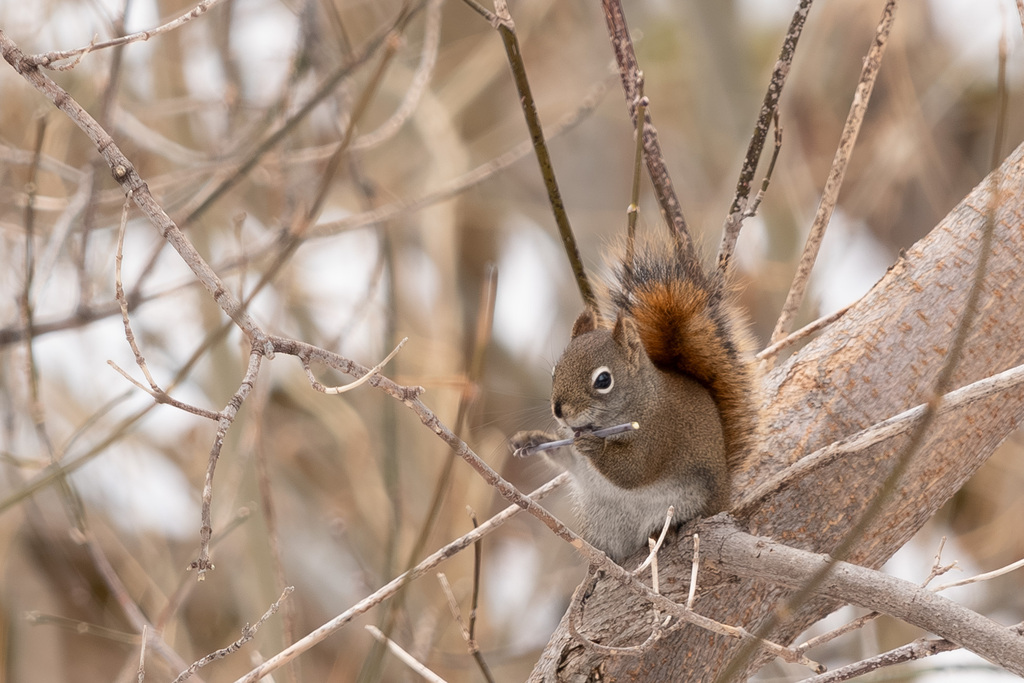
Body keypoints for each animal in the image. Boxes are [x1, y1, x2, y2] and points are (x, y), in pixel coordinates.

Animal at [510, 243, 757, 562]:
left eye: (603, 380)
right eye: (555, 371)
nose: (560, 411)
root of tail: (724, 498)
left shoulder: (659, 433)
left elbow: (635, 470)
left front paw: (595, 446)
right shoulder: (576, 455)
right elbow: (567, 456)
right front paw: (531, 439)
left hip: (688, 501)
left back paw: (665, 530)